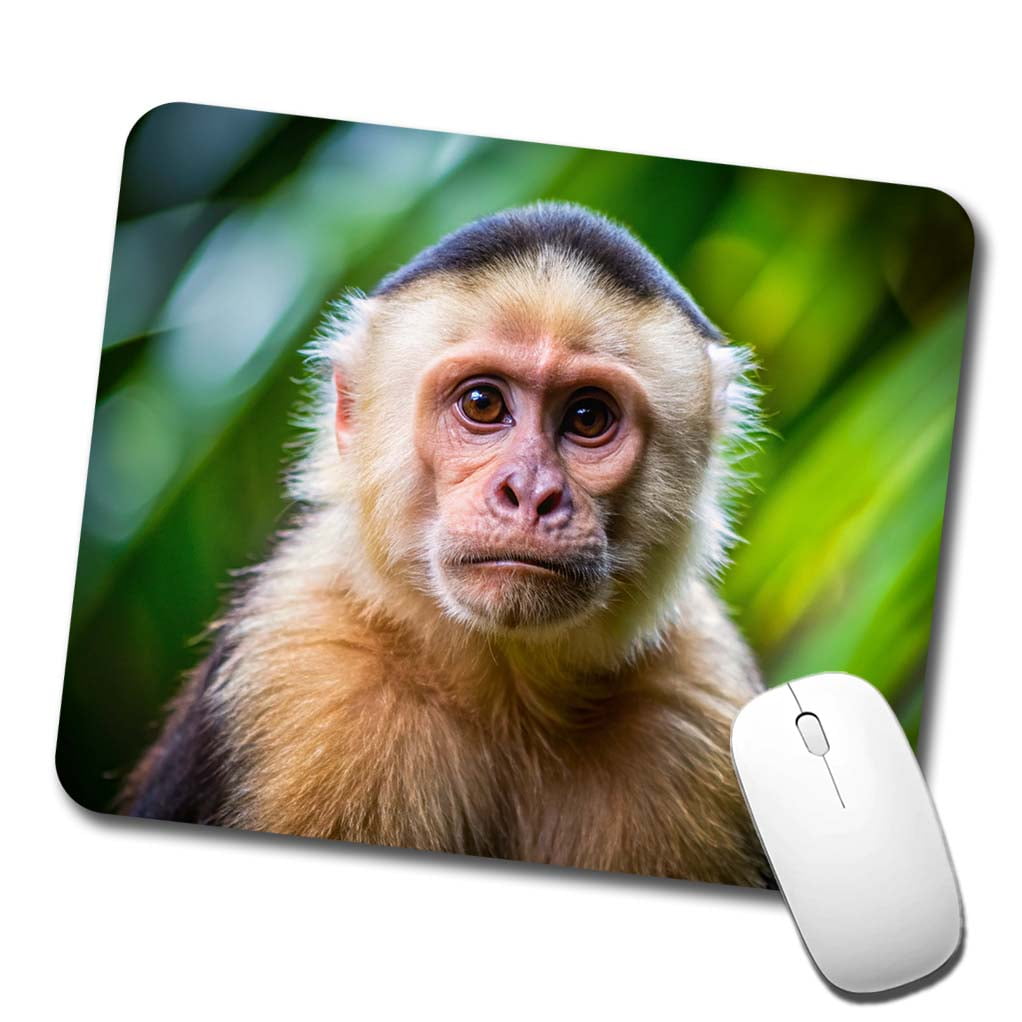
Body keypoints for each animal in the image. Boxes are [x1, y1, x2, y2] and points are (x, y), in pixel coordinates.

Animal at [123, 202, 771, 887]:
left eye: (588, 418)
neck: (509, 699)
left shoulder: (701, 690)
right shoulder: (297, 659)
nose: (530, 493)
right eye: (482, 403)